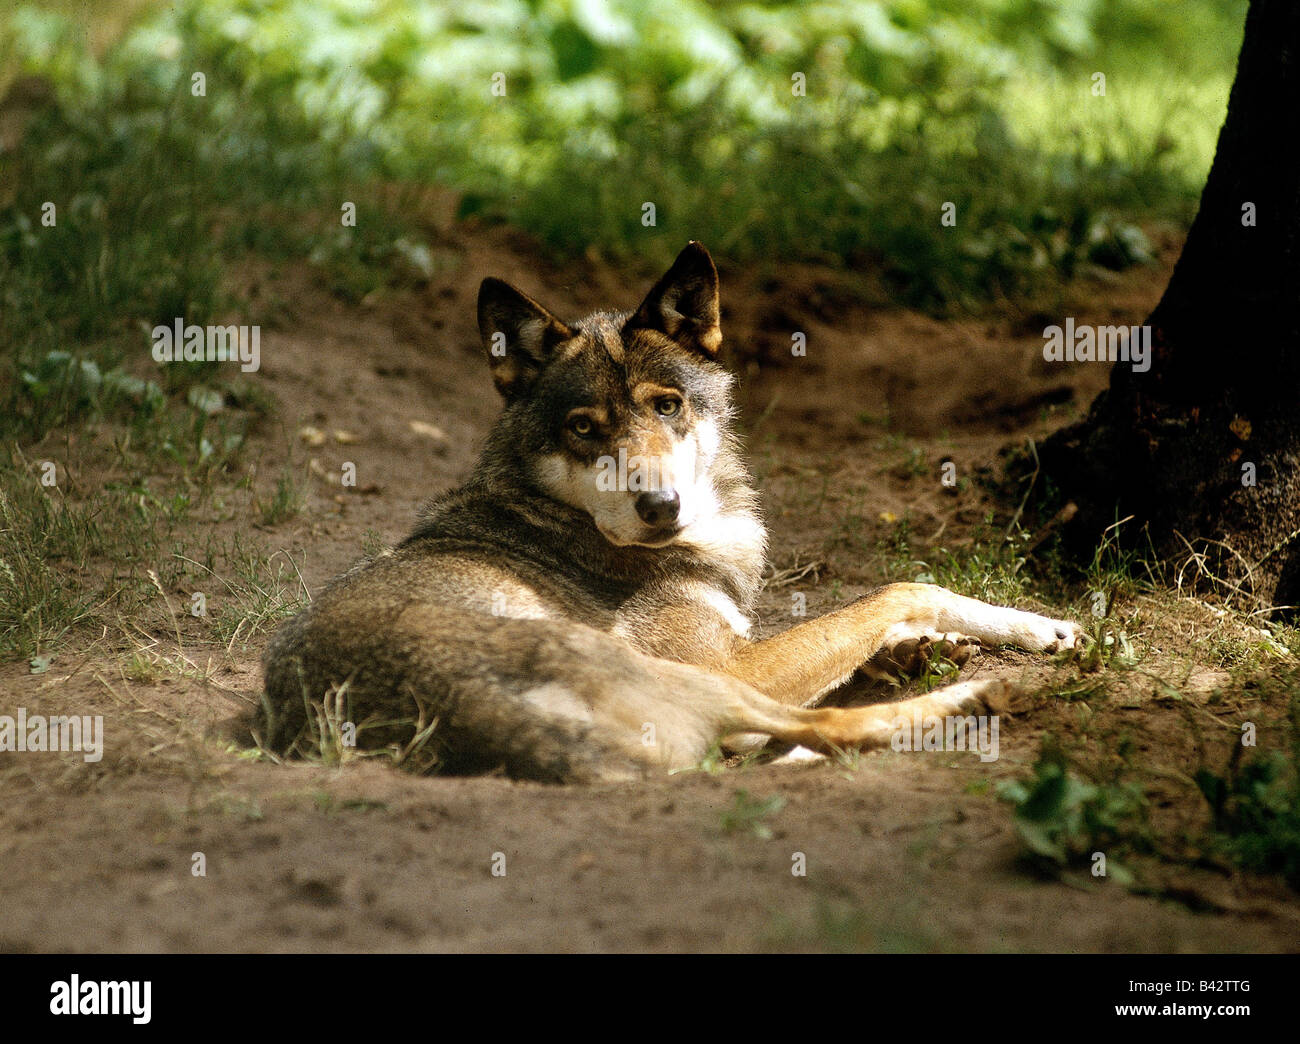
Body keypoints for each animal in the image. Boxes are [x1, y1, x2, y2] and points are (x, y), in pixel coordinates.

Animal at [259, 242, 1082, 782]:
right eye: (583, 428)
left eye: (667, 406)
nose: (659, 504)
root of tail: (460, 705)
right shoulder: (731, 661)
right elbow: (899, 589)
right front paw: (1043, 627)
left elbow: (868, 627)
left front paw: (922, 649)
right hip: (690, 680)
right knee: (818, 730)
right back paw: (977, 697)